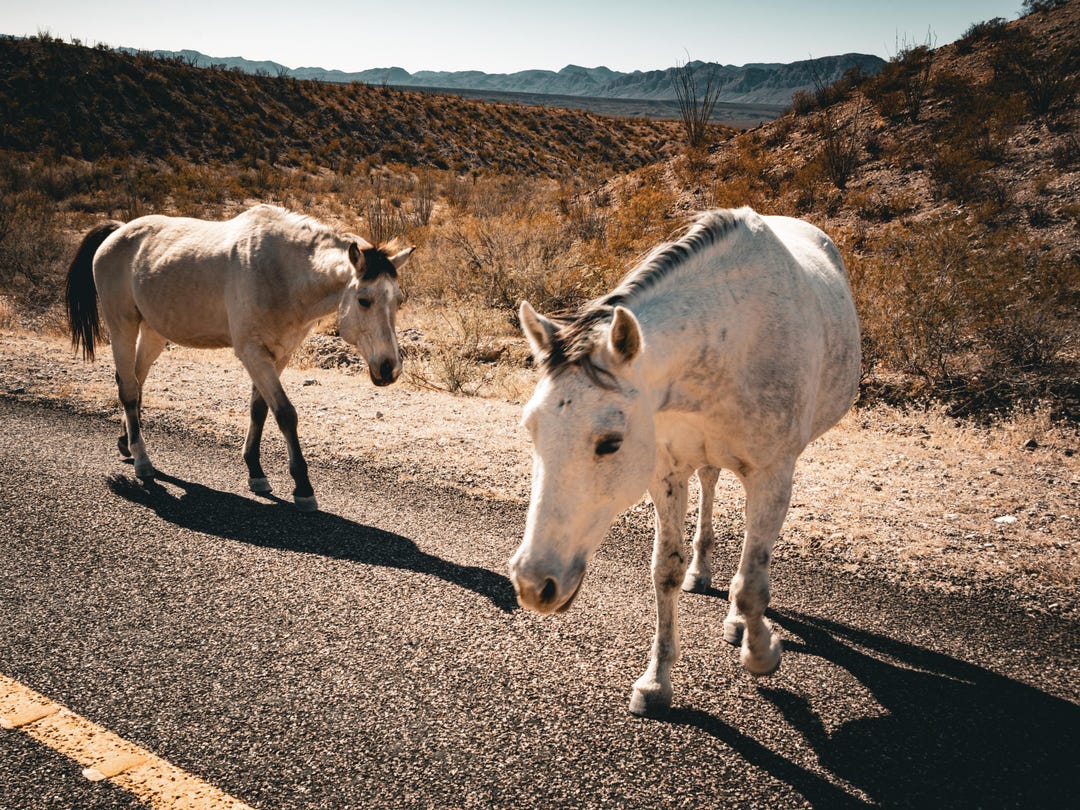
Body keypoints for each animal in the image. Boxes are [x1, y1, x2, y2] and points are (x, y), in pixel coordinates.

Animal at [66, 204, 414, 511]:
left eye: (398, 300)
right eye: (364, 300)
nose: (389, 368)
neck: (282, 273)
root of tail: (118, 231)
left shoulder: (278, 354)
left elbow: (259, 409)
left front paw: (256, 472)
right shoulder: (252, 353)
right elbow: (285, 413)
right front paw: (303, 488)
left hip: (153, 331)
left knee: (137, 383)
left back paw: (126, 441)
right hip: (121, 324)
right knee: (128, 389)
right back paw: (142, 461)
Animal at [508, 207, 860, 716]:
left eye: (610, 443)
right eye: (530, 428)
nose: (533, 584)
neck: (733, 336)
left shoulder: (773, 475)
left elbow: (751, 584)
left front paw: (762, 653)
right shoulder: (666, 471)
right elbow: (665, 572)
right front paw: (657, 681)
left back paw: (739, 623)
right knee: (711, 484)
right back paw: (703, 573)